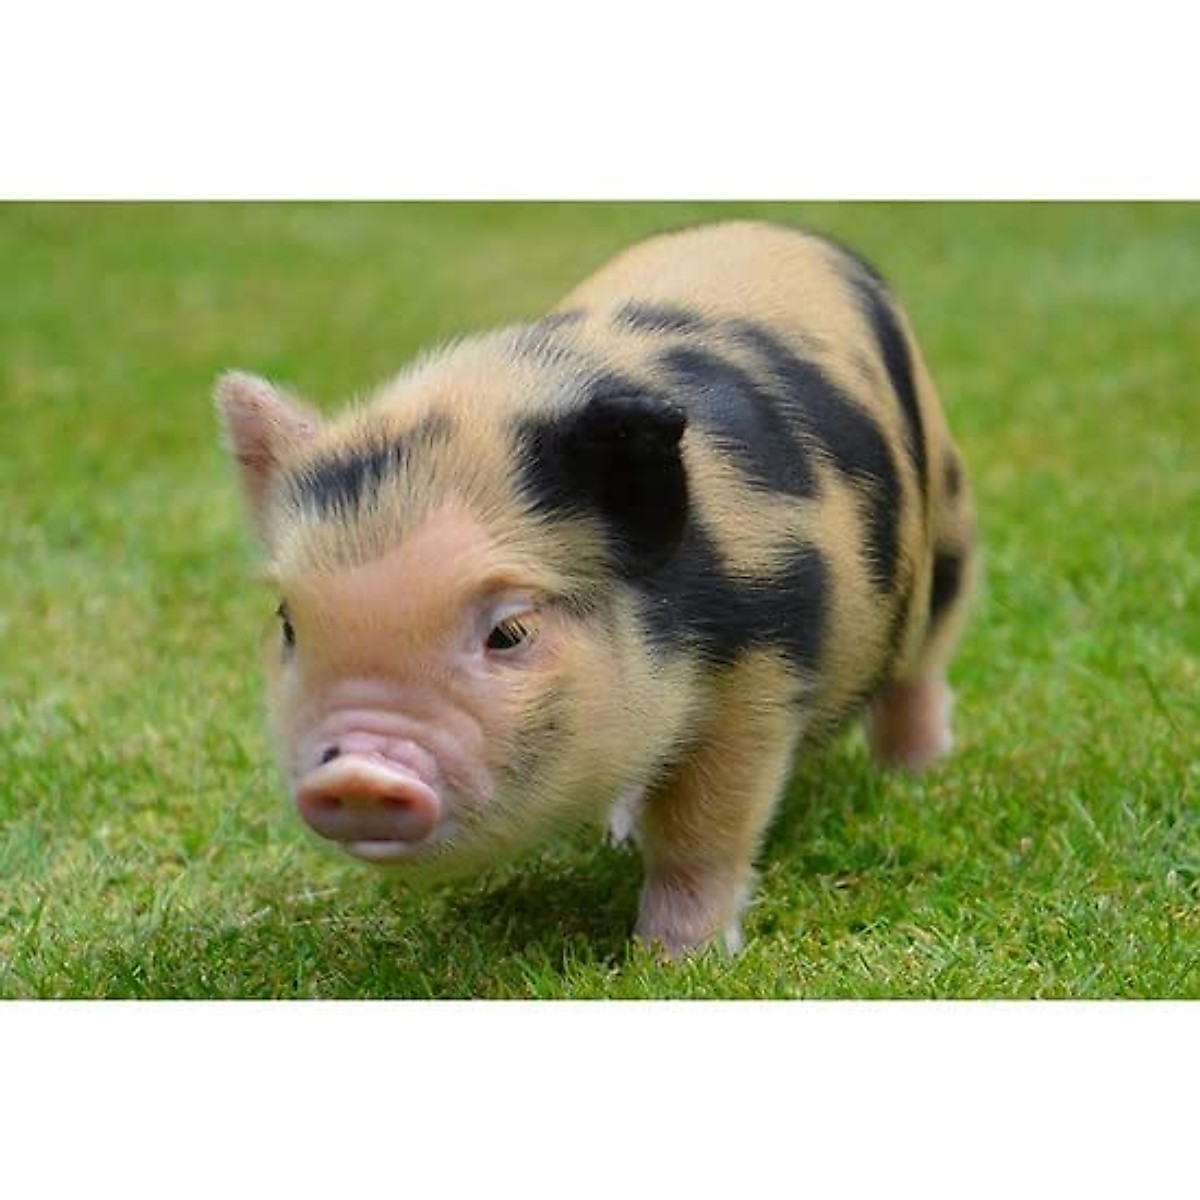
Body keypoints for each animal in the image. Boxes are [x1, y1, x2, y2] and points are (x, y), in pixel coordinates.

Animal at [215, 219, 978, 956]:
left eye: (511, 631)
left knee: (923, 668)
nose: (357, 775)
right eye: (289, 624)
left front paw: (674, 960)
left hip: (950, 524)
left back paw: (914, 776)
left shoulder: (760, 673)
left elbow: (706, 829)